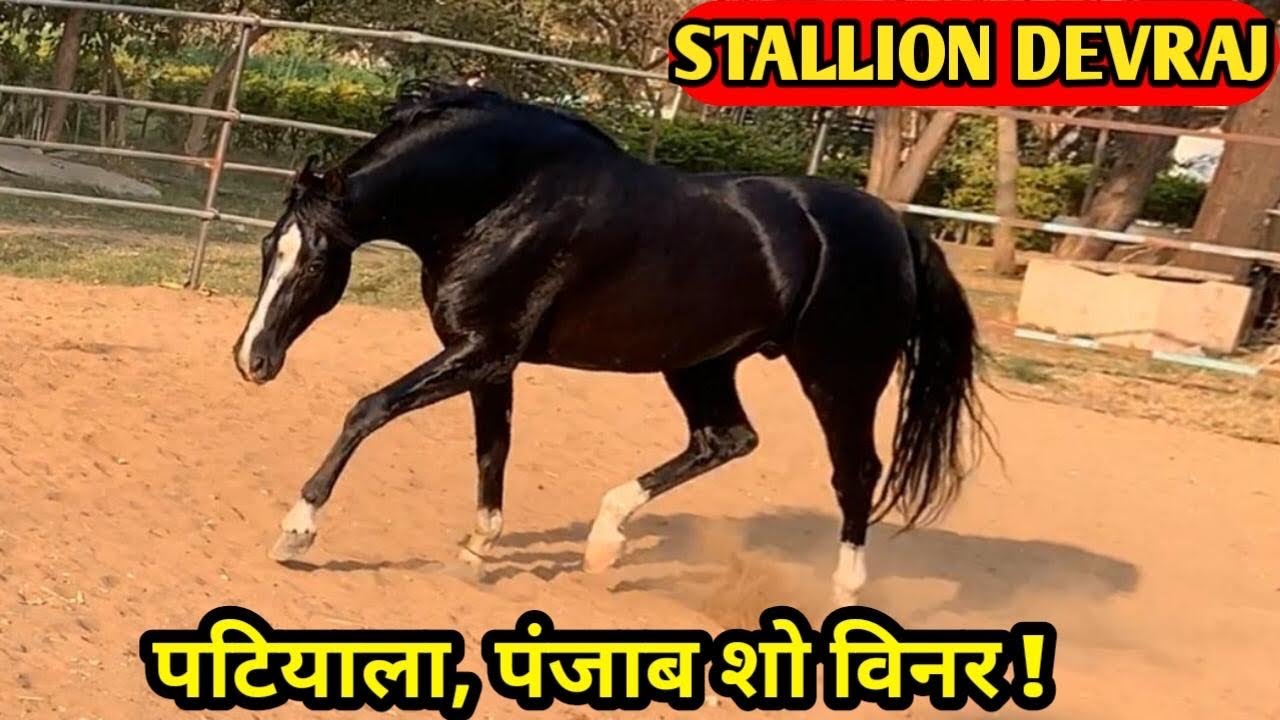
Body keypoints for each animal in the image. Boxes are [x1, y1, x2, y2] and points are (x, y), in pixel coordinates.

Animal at [232, 80, 989, 605]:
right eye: (269, 249)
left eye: (314, 263)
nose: (252, 359)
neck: (506, 196)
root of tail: (899, 228)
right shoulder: (487, 359)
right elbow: (492, 449)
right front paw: (478, 549)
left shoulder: (482, 351)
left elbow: (369, 409)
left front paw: (296, 532)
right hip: (701, 363)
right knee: (727, 439)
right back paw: (604, 543)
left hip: (841, 375)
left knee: (855, 473)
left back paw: (845, 595)